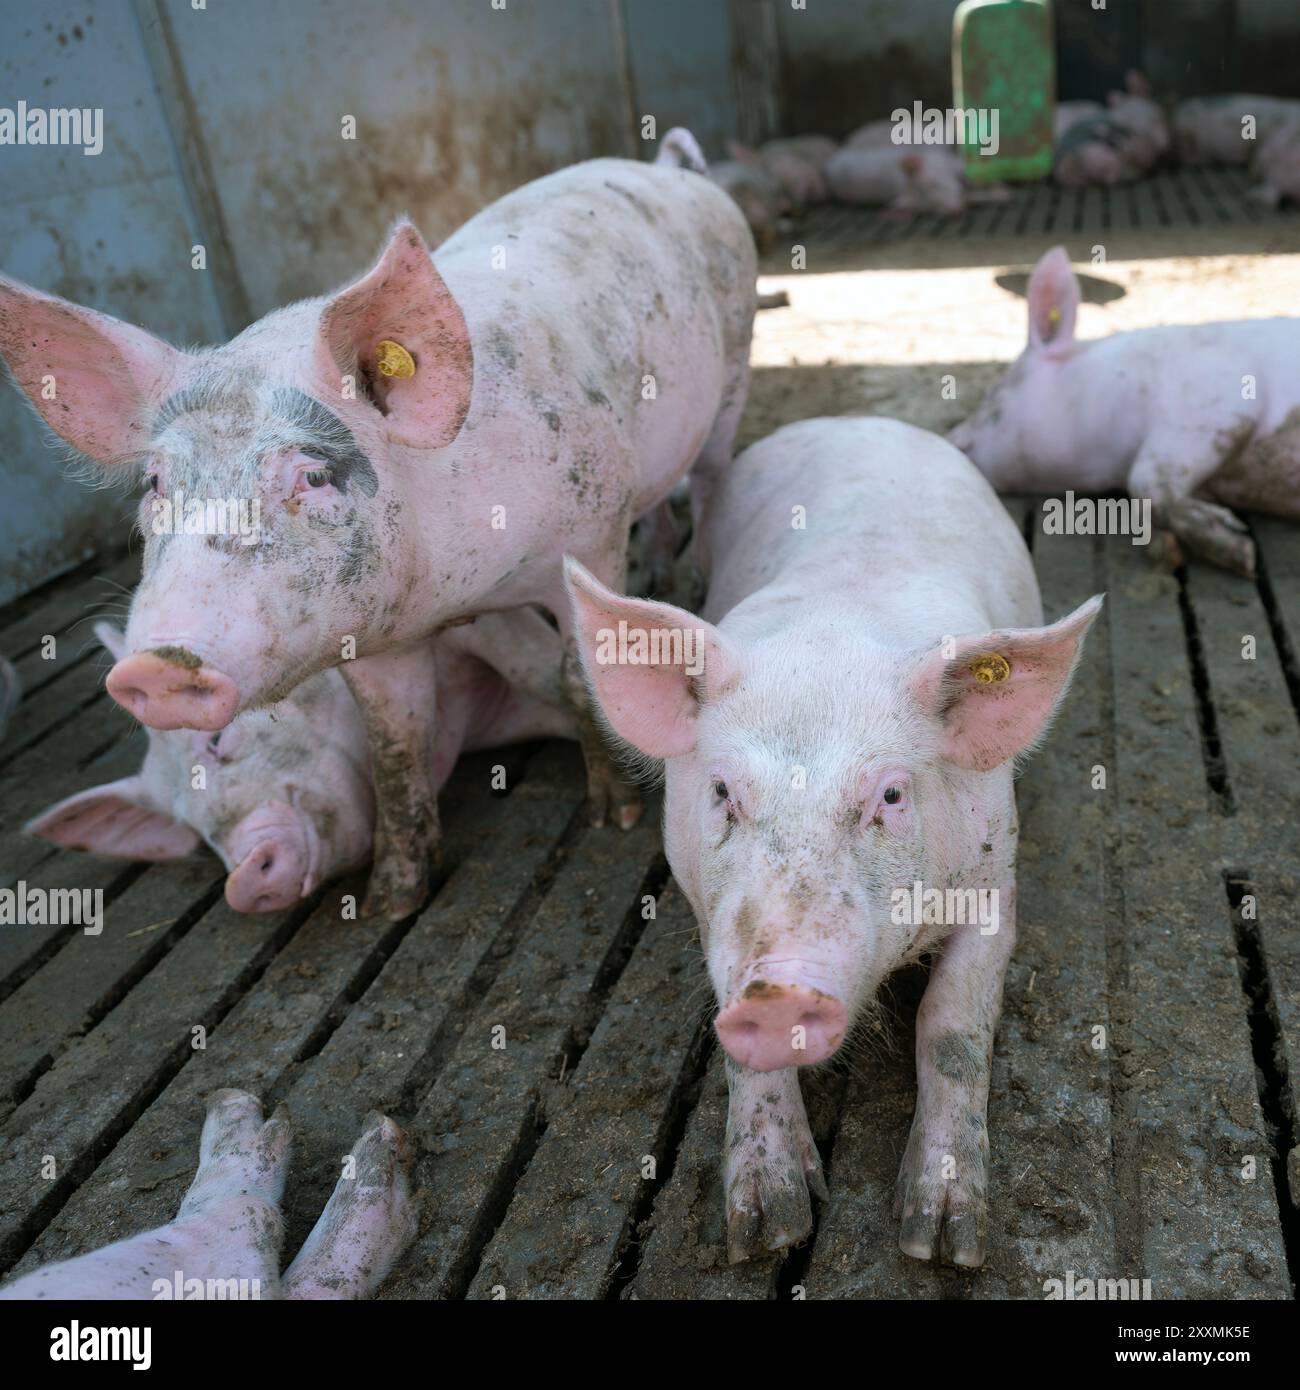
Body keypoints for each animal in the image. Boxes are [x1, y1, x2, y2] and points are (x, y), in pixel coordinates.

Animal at [565, 416, 1101, 1266]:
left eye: (890, 794)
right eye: (723, 791)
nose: (779, 989)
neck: (836, 628)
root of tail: (858, 420)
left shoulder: (997, 882)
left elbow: (951, 1027)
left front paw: (940, 1242)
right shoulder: (708, 908)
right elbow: (736, 1052)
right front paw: (765, 1231)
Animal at [947, 246, 1300, 576]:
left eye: (994, 396)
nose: (951, 438)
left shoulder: (1217, 395)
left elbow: (1143, 479)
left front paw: (1241, 551)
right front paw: (1169, 551)